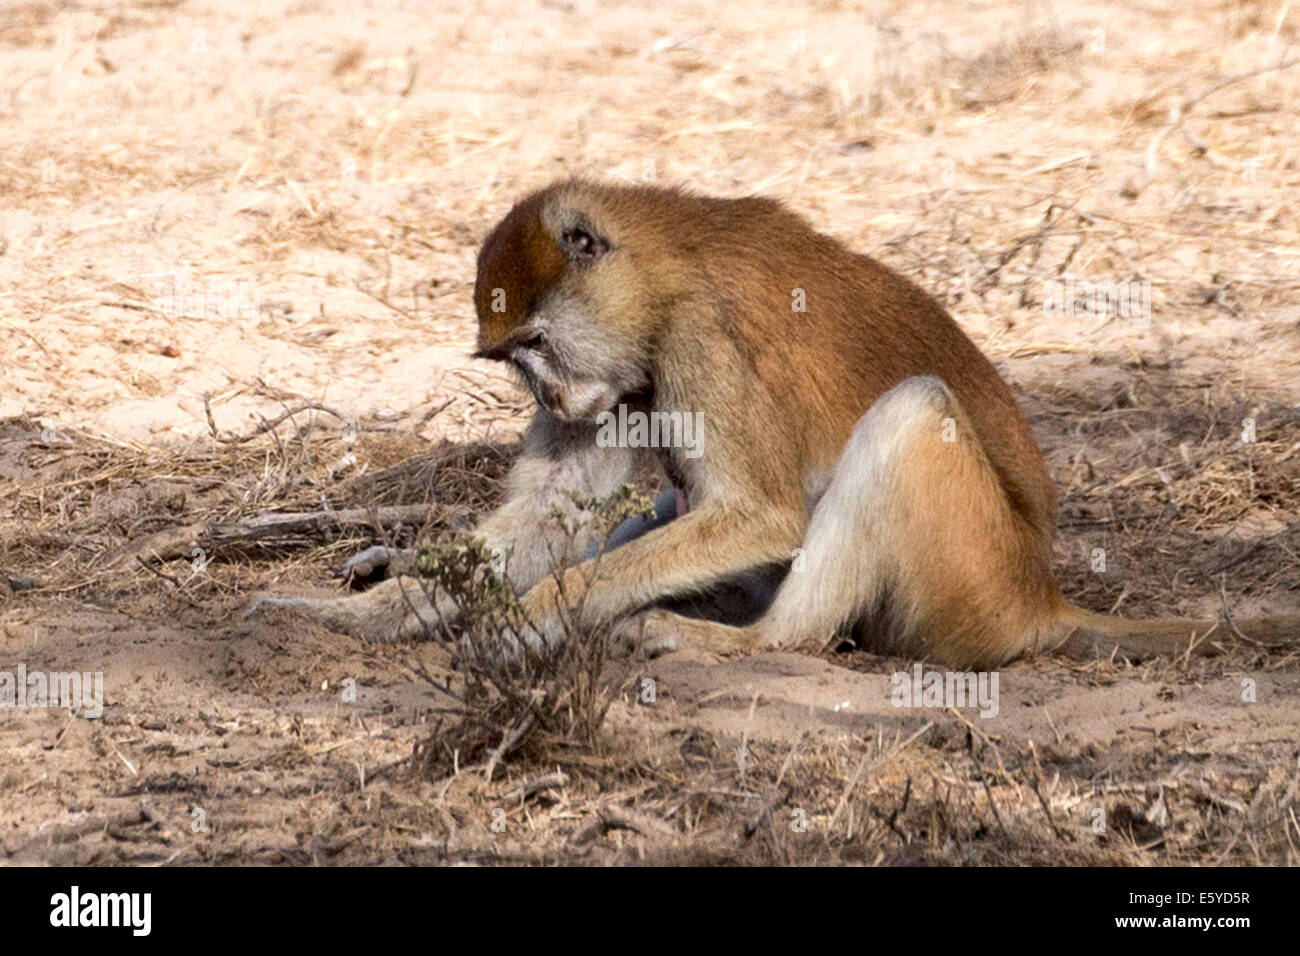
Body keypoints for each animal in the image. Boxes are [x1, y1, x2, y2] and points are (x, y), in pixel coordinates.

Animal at [250, 179, 1300, 669]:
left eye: (537, 345)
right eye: (514, 361)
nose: (545, 400)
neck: (661, 265)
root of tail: (1039, 596)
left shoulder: (697, 339)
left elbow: (759, 516)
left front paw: (520, 625)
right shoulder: (625, 374)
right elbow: (554, 510)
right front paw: (349, 611)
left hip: (970, 580)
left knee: (914, 413)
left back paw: (749, 643)